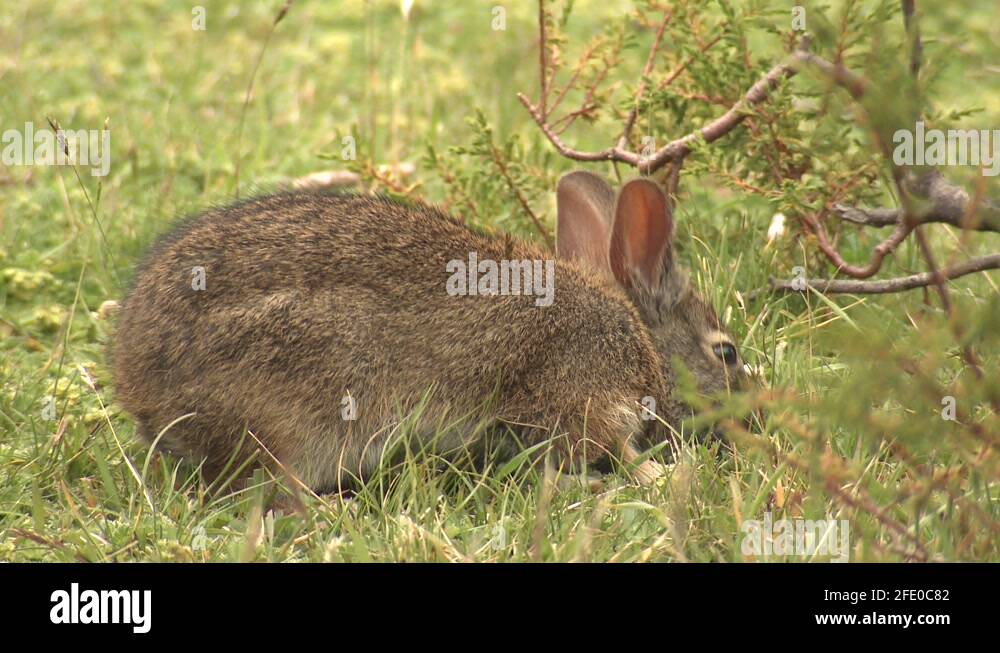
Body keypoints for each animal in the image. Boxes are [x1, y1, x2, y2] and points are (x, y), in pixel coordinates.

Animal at [110, 170, 746, 493]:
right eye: (728, 353)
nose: (755, 409)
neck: (641, 336)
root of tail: (143, 392)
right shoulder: (584, 396)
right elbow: (613, 449)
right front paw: (669, 475)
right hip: (307, 406)